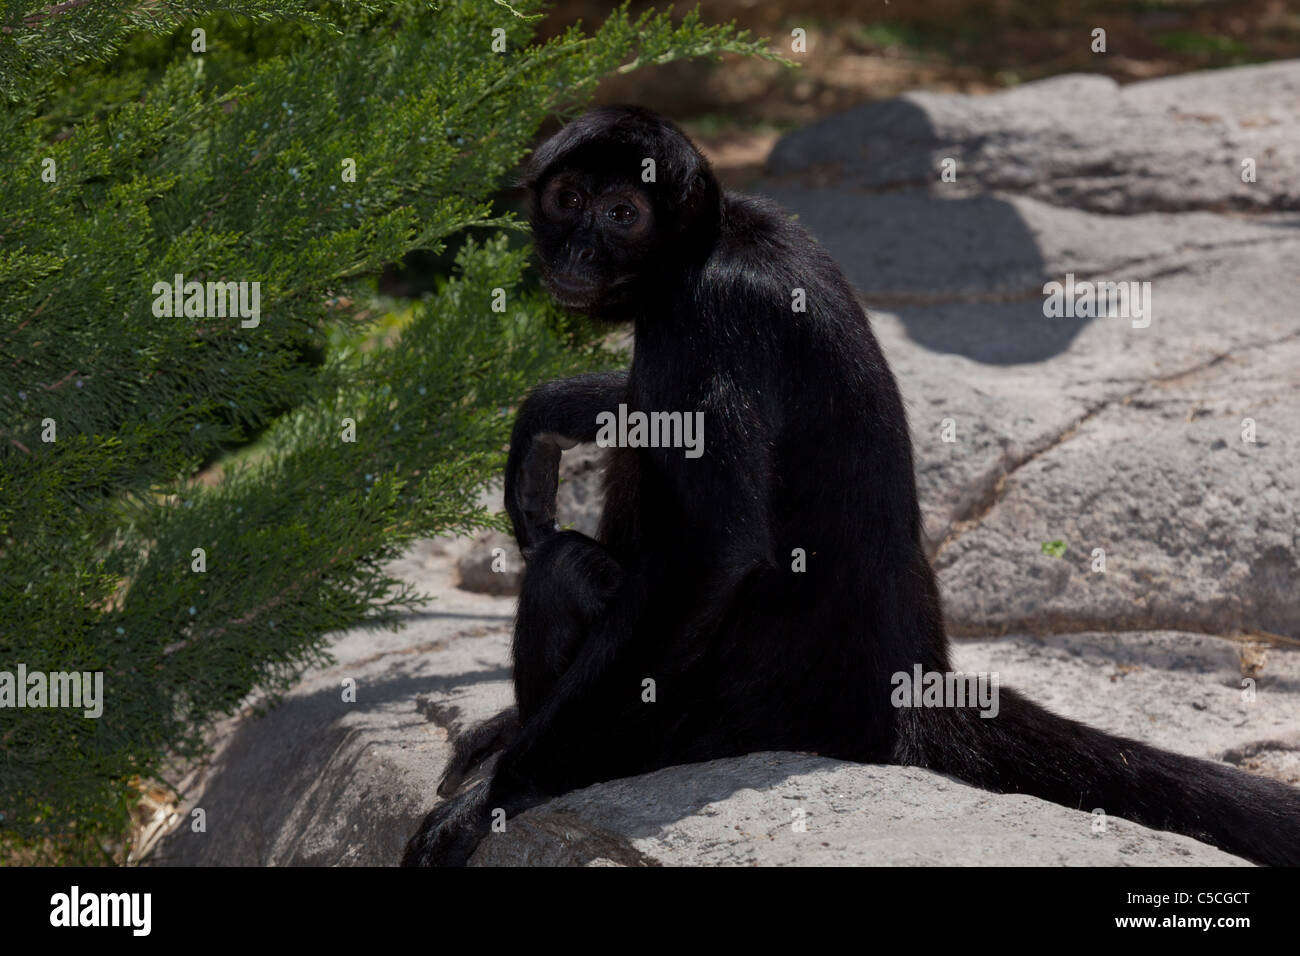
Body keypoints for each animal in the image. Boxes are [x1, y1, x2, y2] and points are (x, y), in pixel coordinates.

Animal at [402, 105, 1300, 867]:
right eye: (568, 199)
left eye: (622, 215)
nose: (578, 253)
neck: (715, 243)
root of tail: (904, 682)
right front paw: (552, 411)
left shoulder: (718, 310)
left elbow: (710, 557)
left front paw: (502, 795)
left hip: (708, 717)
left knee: (566, 567)